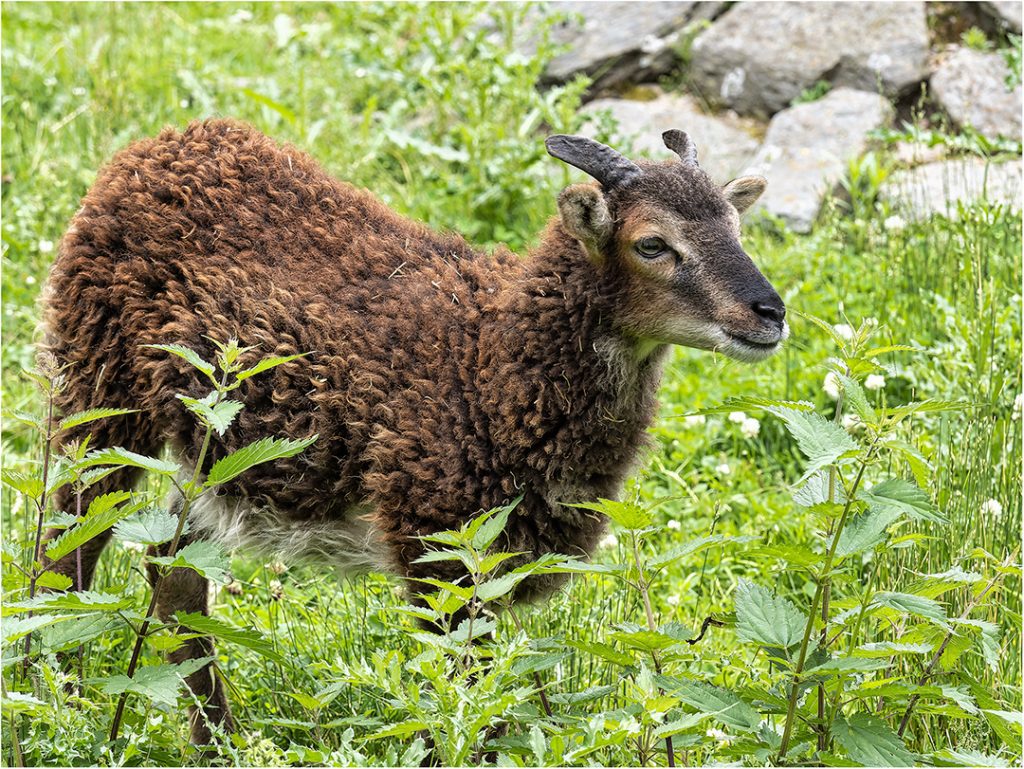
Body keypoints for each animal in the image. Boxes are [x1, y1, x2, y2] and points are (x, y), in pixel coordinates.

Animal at [41, 118, 786, 742]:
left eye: (736, 227)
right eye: (652, 243)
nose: (771, 313)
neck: (487, 359)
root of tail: (152, 148)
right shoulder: (441, 551)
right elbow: (464, 706)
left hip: (207, 454)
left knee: (171, 574)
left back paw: (217, 742)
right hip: (100, 392)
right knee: (66, 545)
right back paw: (57, 700)